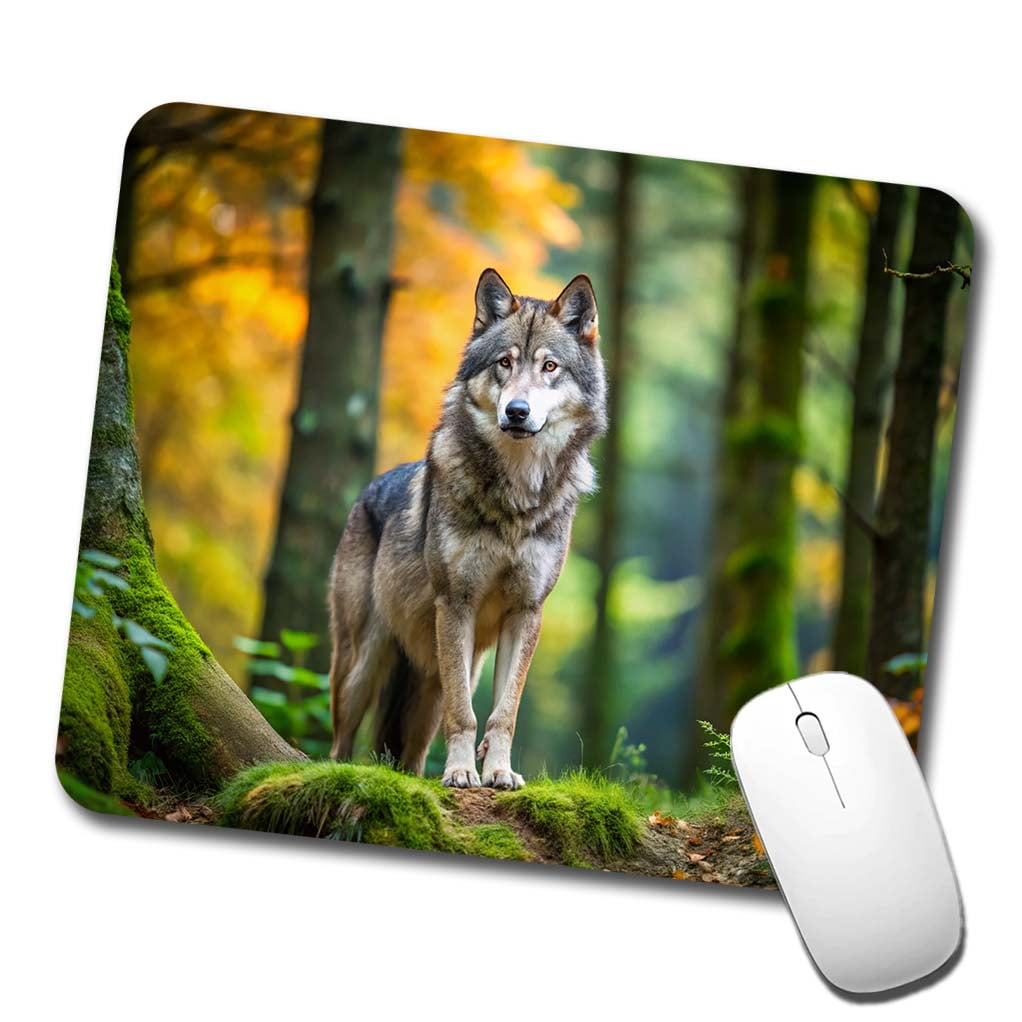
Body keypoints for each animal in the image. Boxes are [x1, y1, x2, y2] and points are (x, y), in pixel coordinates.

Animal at [327, 268, 607, 789]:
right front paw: (461, 772)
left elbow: (503, 713)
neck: (515, 499)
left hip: (436, 679)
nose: (516, 411)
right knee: (340, 740)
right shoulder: (456, 603)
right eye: (504, 363)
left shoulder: (526, 611)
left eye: (550, 367)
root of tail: (367, 490)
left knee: (412, 755)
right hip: (364, 666)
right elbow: (466, 714)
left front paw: (499, 772)